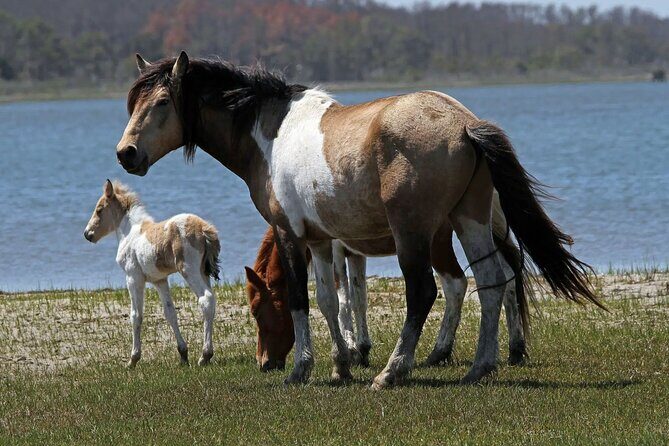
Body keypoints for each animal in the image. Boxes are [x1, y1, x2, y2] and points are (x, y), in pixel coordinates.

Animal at [84, 180, 221, 367]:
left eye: (99, 209)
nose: (87, 234)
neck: (130, 233)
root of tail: (204, 228)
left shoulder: (133, 277)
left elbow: (136, 316)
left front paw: (133, 360)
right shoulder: (160, 280)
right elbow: (170, 313)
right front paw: (183, 355)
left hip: (189, 270)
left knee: (206, 299)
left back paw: (205, 355)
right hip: (202, 272)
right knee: (211, 301)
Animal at [246, 190, 532, 372]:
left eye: (257, 312)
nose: (264, 363)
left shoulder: (336, 250)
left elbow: (343, 299)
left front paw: (351, 349)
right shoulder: (355, 253)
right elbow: (358, 298)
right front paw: (361, 349)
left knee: (460, 285)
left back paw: (441, 352)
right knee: (506, 278)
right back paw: (514, 349)